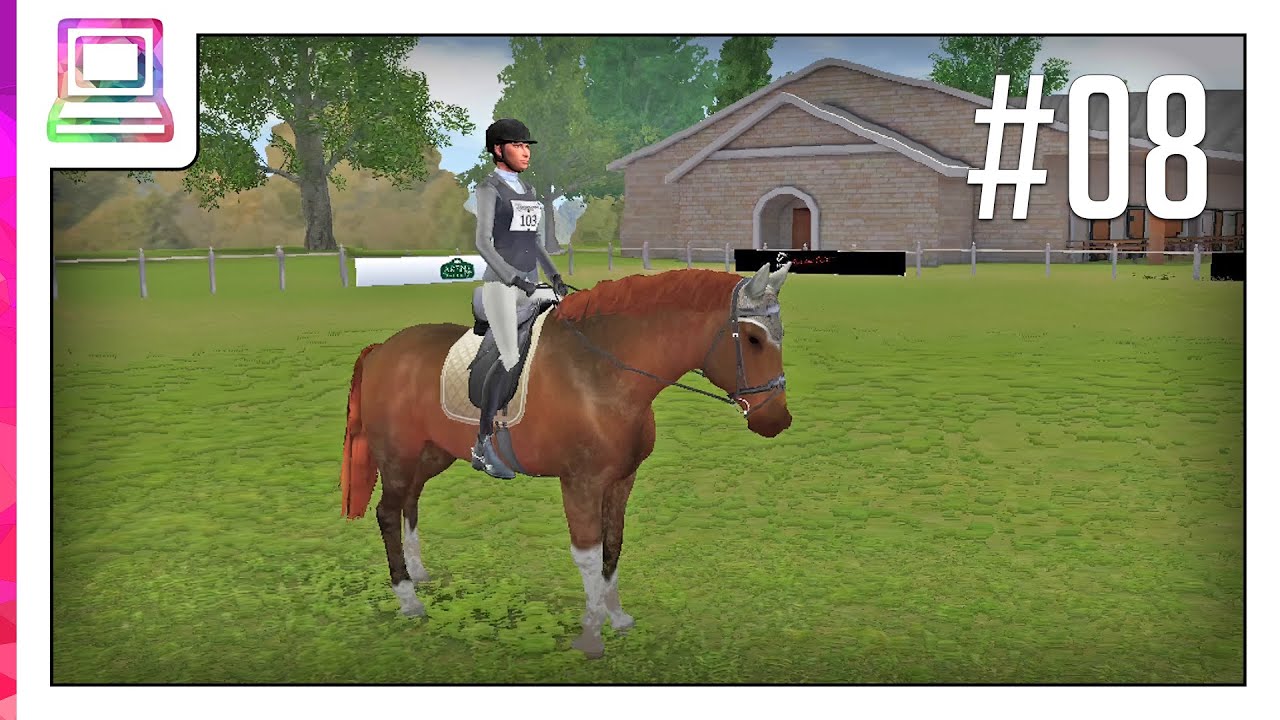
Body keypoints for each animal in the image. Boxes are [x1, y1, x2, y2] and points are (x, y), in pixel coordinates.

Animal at [338, 262, 793, 659]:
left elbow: (613, 546)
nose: (777, 420)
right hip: (398, 455)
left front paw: (617, 618)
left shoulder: (621, 481)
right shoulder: (580, 483)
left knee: (410, 503)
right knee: (387, 512)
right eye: (753, 339)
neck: (600, 375)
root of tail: (383, 349)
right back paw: (408, 599)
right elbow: (588, 553)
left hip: (432, 453)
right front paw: (591, 636)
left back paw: (418, 574)